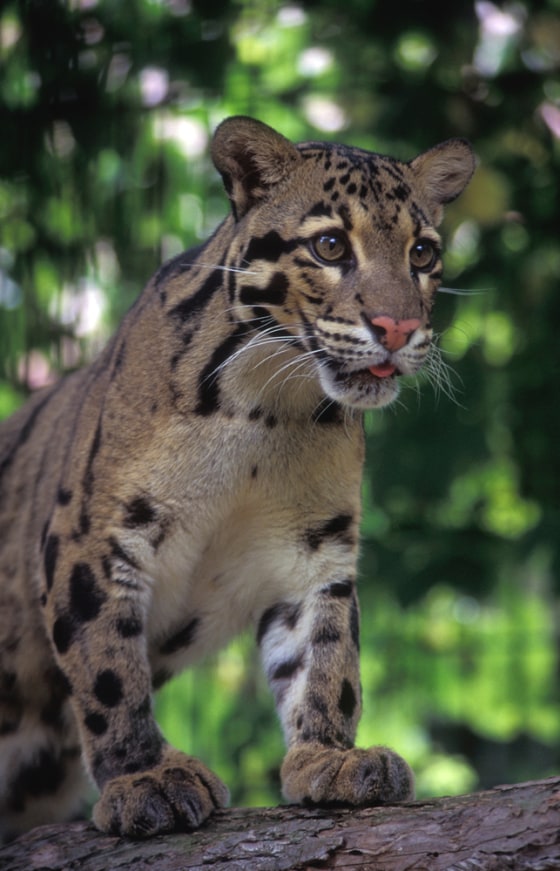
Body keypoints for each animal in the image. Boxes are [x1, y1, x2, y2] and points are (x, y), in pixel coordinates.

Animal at [0, 116, 475, 842]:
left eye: (421, 254)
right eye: (330, 245)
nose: (398, 328)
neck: (265, 409)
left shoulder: (315, 550)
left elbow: (326, 658)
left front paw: (329, 758)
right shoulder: (92, 539)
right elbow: (110, 666)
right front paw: (145, 776)